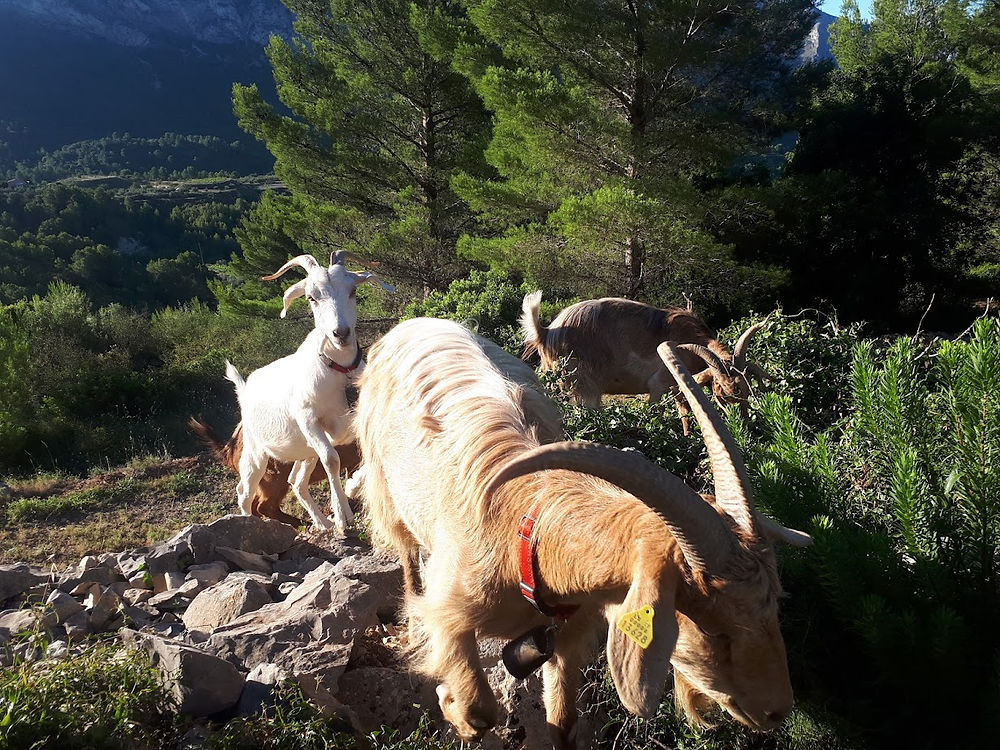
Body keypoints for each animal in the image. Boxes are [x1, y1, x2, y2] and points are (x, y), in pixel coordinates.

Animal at [187, 417, 361, 527]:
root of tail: (230, 447)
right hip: (273, 479)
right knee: (265, 506)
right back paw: (306, 524)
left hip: (264, 482)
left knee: (255, 504)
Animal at [225, 251, 392, 533]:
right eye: (311, 297)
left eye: (353, 291)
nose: (340, 333)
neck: (339, 372)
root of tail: (245, 391)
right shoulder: (309, 421)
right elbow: (332, 460)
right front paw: (343, 515)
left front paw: (353, 487)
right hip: (256, 452)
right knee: (244, 492)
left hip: (304, 451)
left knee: (297, 481)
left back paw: (322, 523)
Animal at [355, 317, 810, 748]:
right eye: (713, 631)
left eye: (775, 603)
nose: (777, 712)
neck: (524, 534)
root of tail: (409, 325)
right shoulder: (451, 613)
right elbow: (479, 708)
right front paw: (449, 704)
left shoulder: (567, 636)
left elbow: (565, 724)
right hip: (383, 485)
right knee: (405, 550)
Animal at [520, 292, 769, 433]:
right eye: (721, 394)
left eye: (746, 393)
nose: (743, 426)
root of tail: (546, 332)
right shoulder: (658, 385)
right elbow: (655, 413)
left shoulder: (678, 387)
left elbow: (684, 413)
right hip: (583, 386)